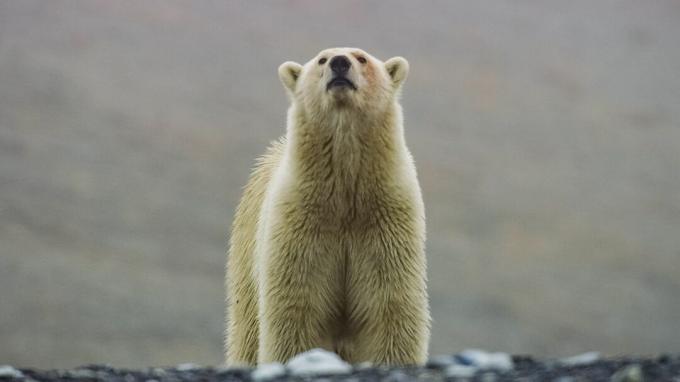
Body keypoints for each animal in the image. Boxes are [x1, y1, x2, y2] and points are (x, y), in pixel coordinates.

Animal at [228, 47, 430, 368]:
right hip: (245, 257)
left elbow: (389, 306)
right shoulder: (299, 225)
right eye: (322, 59)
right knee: (246, 331)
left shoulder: (386, 223)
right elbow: (295, 309)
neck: (344, 196)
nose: (339, 63)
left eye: (362, 58)